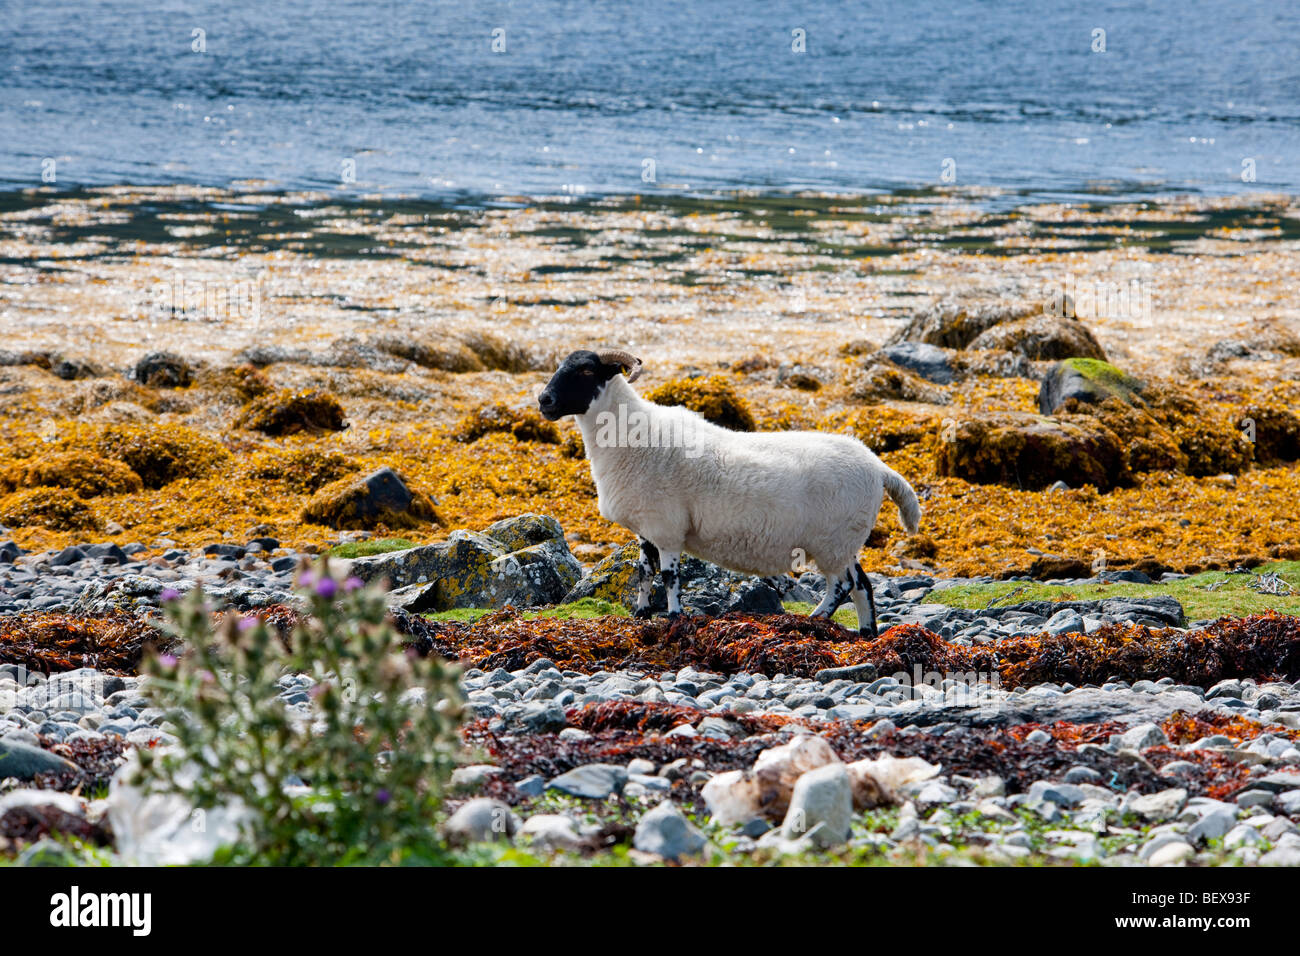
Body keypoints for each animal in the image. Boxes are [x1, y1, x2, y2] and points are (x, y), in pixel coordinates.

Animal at [537, 348, 921, 637]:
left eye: (587, 371)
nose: (544, 400)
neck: (631, 435)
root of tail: (878, 467)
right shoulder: (646, 528)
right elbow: (643, 572)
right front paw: (641, 614)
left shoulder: (667, 527)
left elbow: (669, 576)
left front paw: (674, 616)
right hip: (845, 540)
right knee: (862, 584)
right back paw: (867, 633)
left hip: (832, 540)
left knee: (841, 585)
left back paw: (813, 619)